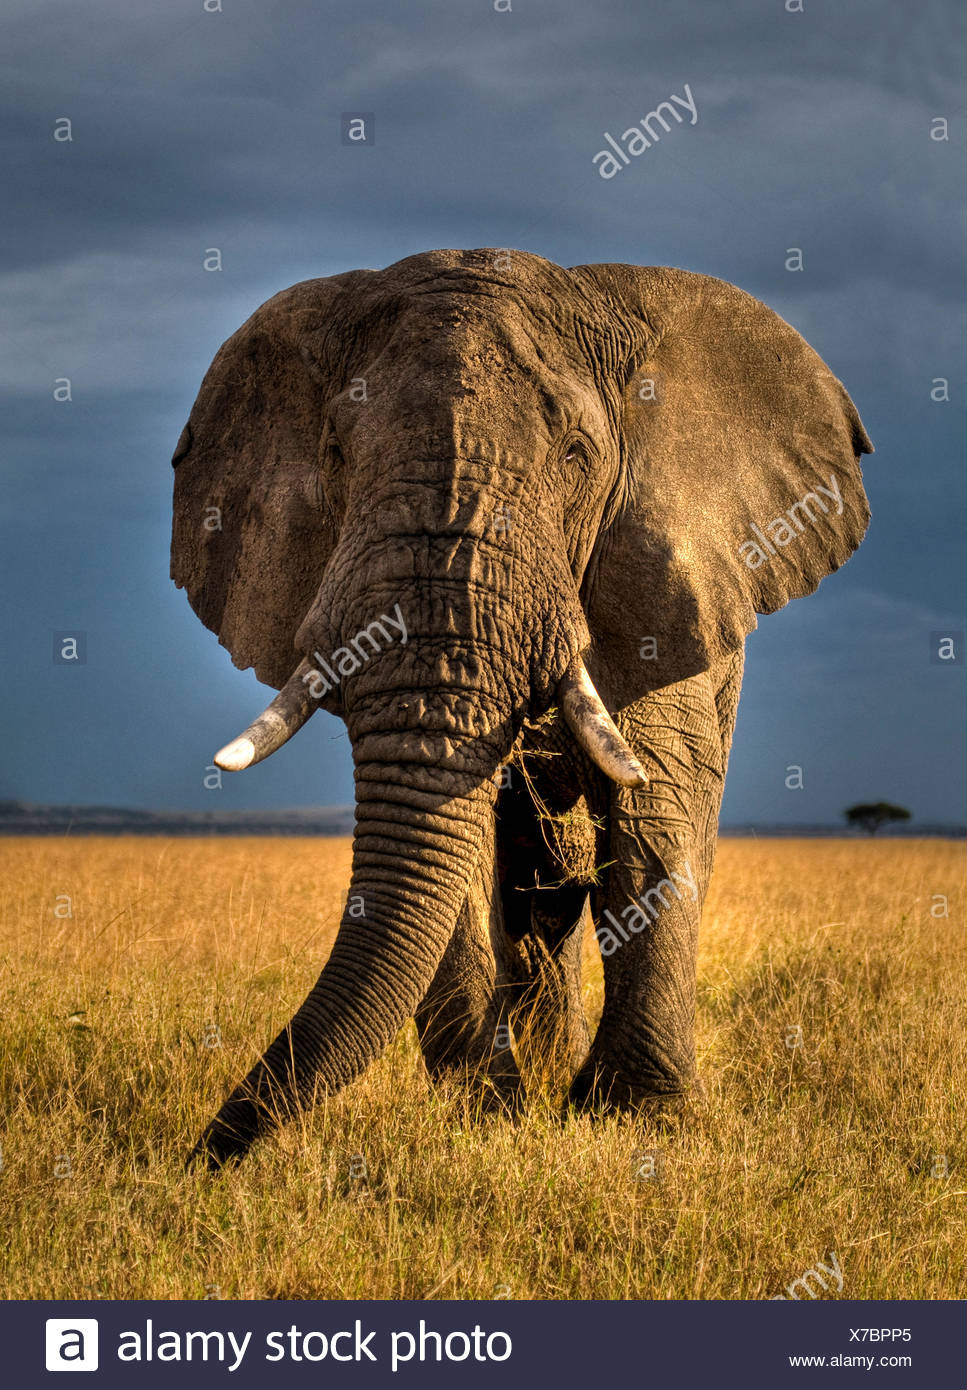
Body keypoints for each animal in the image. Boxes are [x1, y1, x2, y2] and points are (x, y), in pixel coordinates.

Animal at [170, 248, 872, 1167]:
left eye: (576, 455)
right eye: (335, 451)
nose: (201, 1157)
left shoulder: (663, 582)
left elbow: (651, 814)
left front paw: (639, 1121)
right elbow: (454, 848)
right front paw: (489, 1116)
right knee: (534, 892)